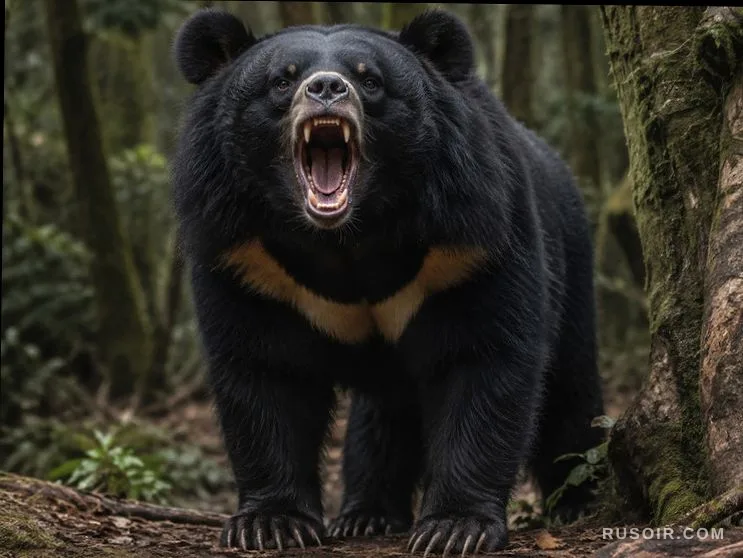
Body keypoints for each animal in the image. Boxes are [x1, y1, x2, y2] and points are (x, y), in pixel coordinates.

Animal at [171, 8, 605, 556]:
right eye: (282, 80)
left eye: (369, 80)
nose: (327, 87)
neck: (348, 235)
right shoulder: (248, 259)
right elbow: (265, 372)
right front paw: (270, 524)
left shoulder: (471, 242)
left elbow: (483, 359)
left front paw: (454, 528)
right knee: (383, 416)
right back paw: (367, 516)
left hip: (571, 259)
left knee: (571, 386)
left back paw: (578, 501)